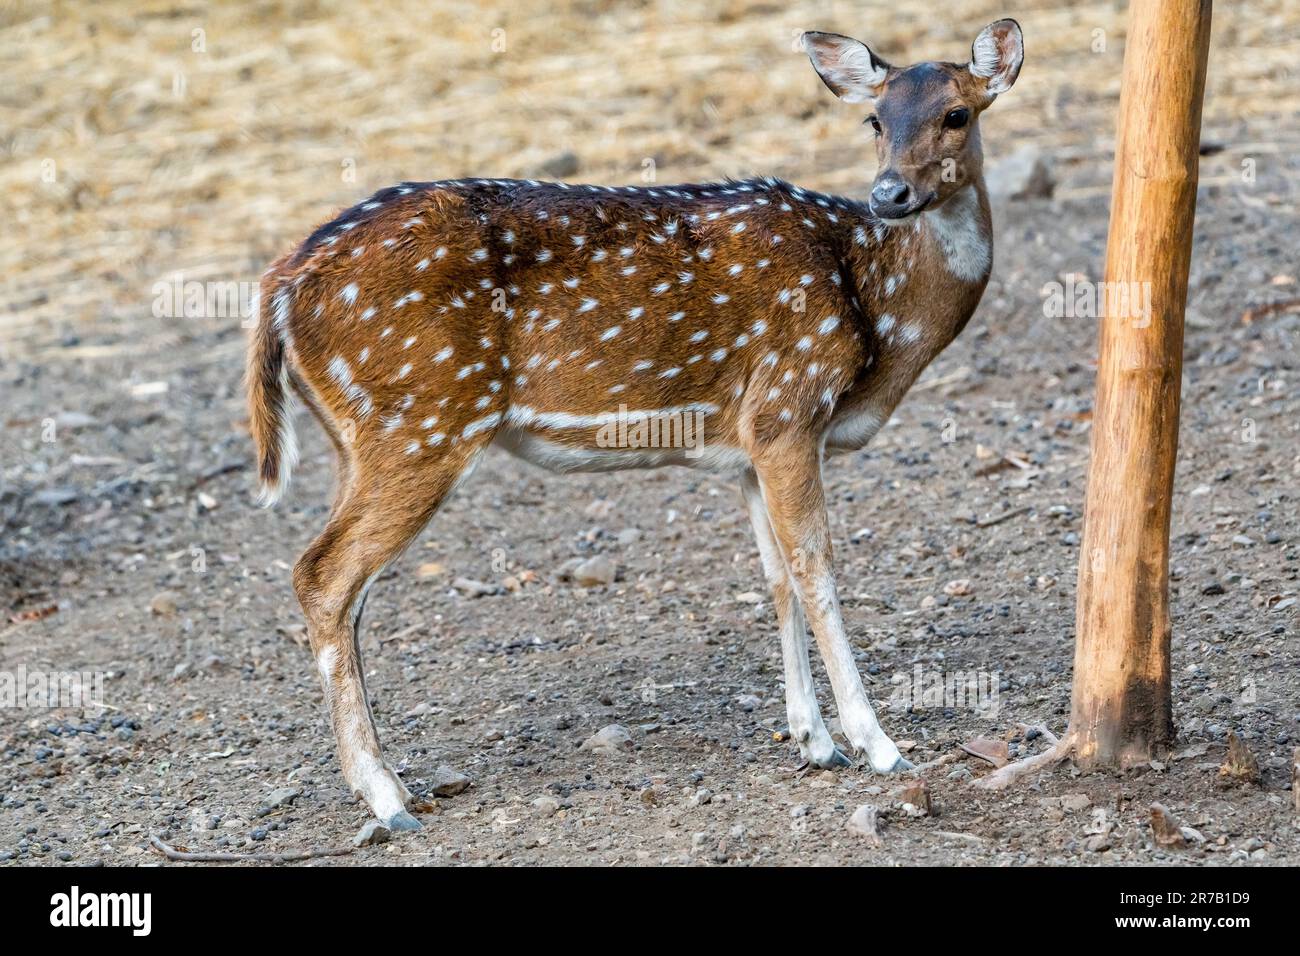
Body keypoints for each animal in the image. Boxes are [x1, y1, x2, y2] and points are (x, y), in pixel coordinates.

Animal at [246, 20, 1024, 830]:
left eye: (956, 114)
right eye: (875, 119)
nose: (889, 193)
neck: (878, 315)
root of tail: (278, 288)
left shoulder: (750, 445)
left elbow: (776, 577)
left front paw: (815, 741)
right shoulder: (789, 404)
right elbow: (817, 569)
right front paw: (878, 746)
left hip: (363, 435)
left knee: (339, 587)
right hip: (422, 421)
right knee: (323, 575)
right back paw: (387, 795)